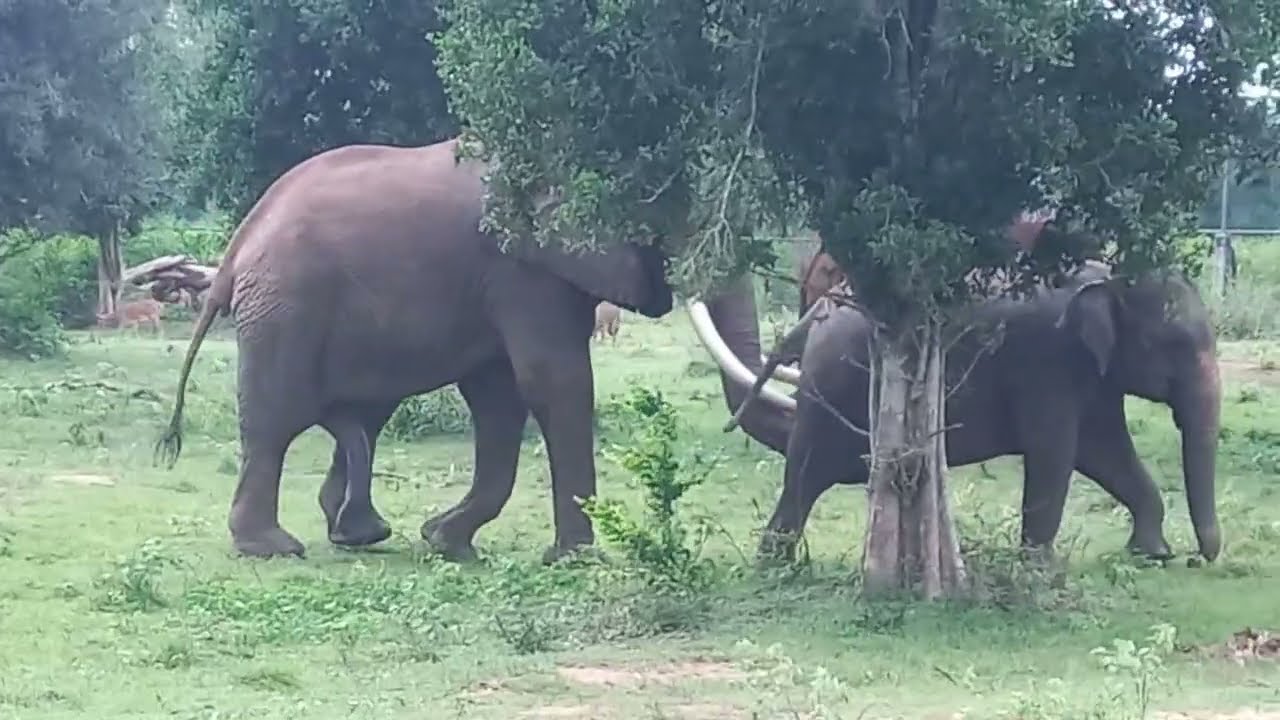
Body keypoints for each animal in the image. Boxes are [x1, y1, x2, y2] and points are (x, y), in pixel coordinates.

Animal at [155, 138, 800, 562]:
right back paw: (273, 548)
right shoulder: (523, 266)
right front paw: (575, 560)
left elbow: (500, 397)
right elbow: (553, 382)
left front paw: (444, 542)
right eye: (672, 211)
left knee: (361, 414)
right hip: (286, 306)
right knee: (277, 420)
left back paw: (358, 534)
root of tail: (238, 245)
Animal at [741, 262, 1223, 565]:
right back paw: (777, 567)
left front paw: (1152, 554)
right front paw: (1040, 572)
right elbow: (1055, 455)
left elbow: (1106, 452)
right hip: (832, 387)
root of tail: (819, 312)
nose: (1200, 558)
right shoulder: (1046, 362)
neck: (1108, 276)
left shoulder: (1096, 375)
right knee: (805, 474)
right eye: (1174, 345)